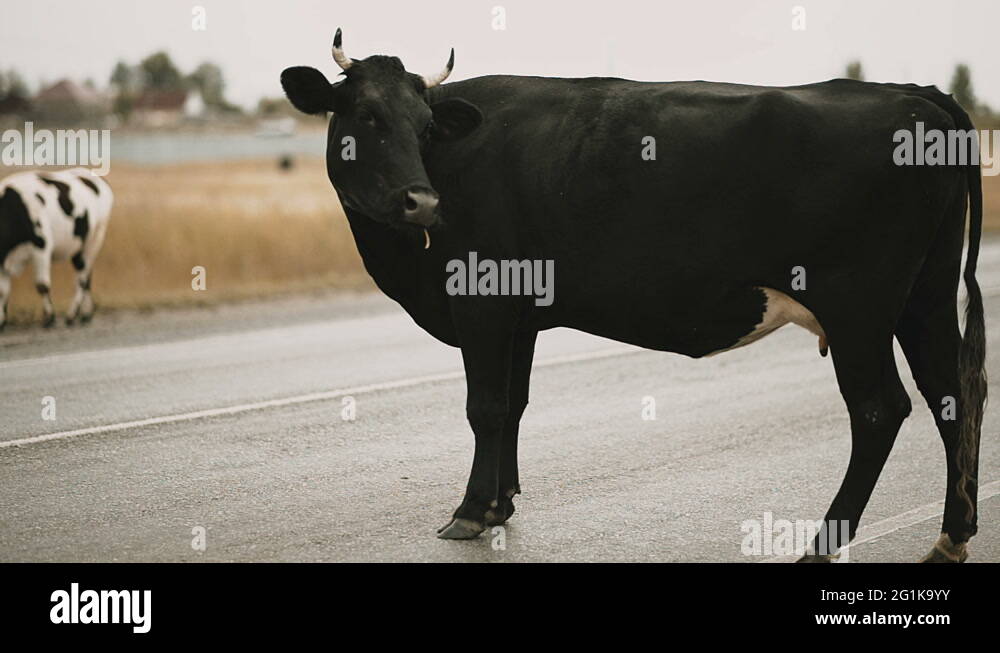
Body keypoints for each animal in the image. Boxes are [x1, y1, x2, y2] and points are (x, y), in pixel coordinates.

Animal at [0, 168, 112, 329]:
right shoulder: (3, 259)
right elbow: (3, 291)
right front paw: (2, 321)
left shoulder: (42, 247)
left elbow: (42, 285)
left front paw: (49, 318)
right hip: (79, 247)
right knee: (87, 276)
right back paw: (86, 314)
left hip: (94, 240)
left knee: (82, 279)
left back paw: (72, 315)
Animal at [281, 30, 986, 562]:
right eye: (366, 115)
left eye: (426, 125)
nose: (421, 201)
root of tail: (914, 95)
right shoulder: (520, 314)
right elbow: (514, 406)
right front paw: (502, 503)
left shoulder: (482, 299)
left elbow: (485, 406)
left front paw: (472, 510)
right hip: (923, 297)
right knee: (951, 394)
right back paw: (952, 536)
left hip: (858, 307)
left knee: (880, 410)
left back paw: (819, 544)